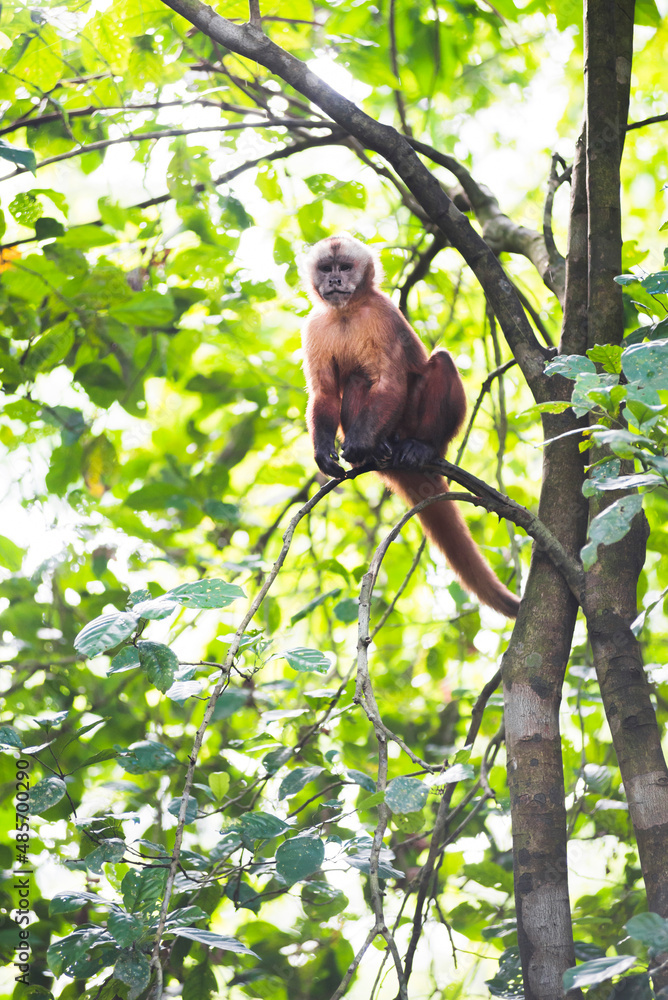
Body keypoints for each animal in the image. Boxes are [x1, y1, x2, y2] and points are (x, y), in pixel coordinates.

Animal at [300, 233, 520, 619]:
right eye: (326, 268)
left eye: (345, 267)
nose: (335, 281)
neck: (346, 313)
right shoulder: (316, 326)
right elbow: (325, 393)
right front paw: (325, 454)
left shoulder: (383, 314)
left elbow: (390, 382)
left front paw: (358, 445)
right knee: (356, 379)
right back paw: (378, 450)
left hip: (419, 425)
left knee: (439, 363)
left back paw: (419, 447)